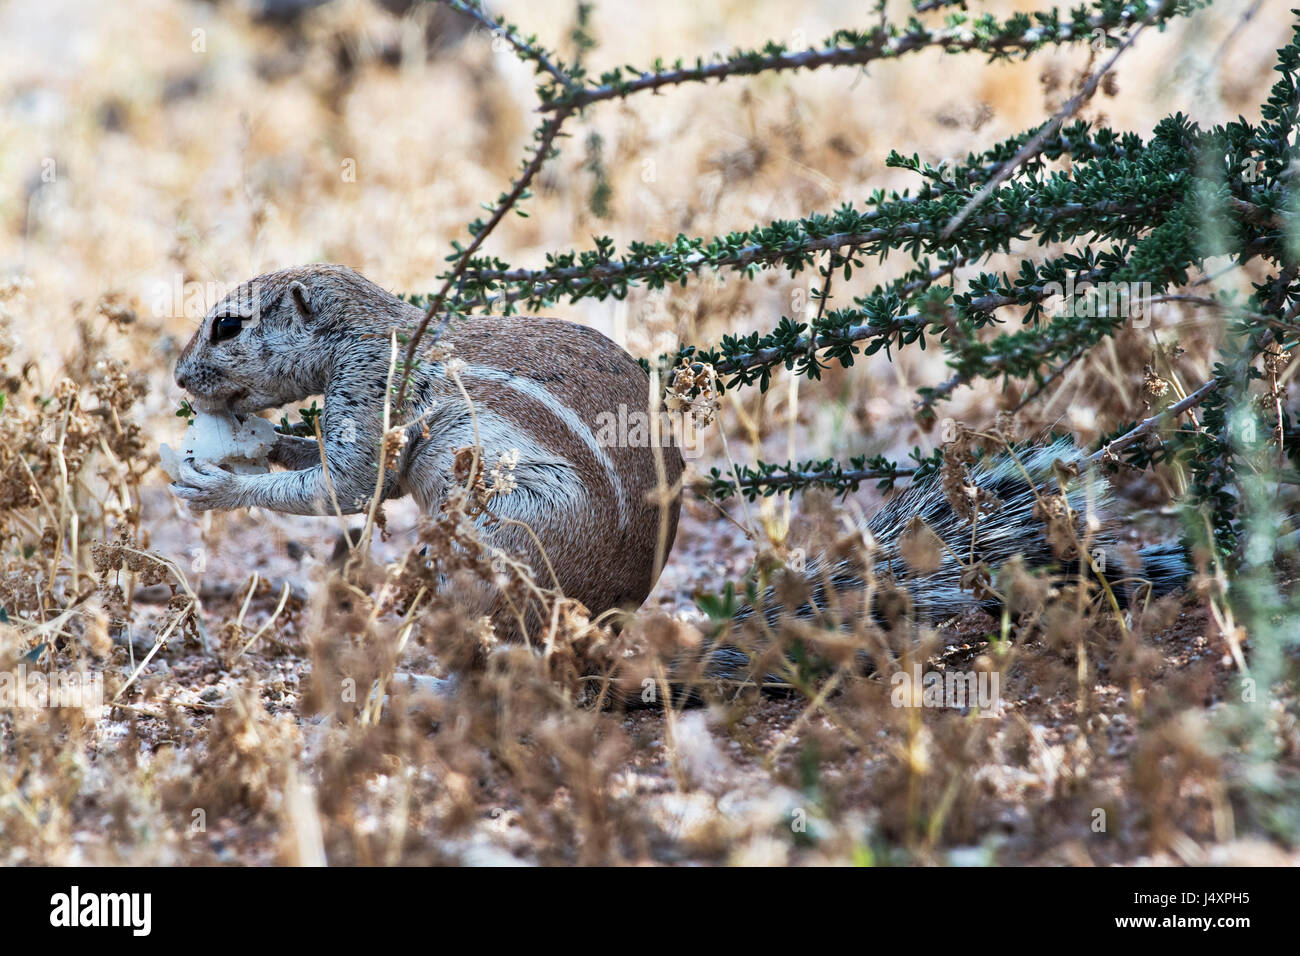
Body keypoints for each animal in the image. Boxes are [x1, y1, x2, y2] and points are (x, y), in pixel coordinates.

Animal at [171, 264, 1190, 685]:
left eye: (228, 324)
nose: (179, 379)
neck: (367, 328)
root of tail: (610, 630)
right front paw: (253, 442)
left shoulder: (368, 396)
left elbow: (345, 489)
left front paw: (216, 482)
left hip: (501, 540)